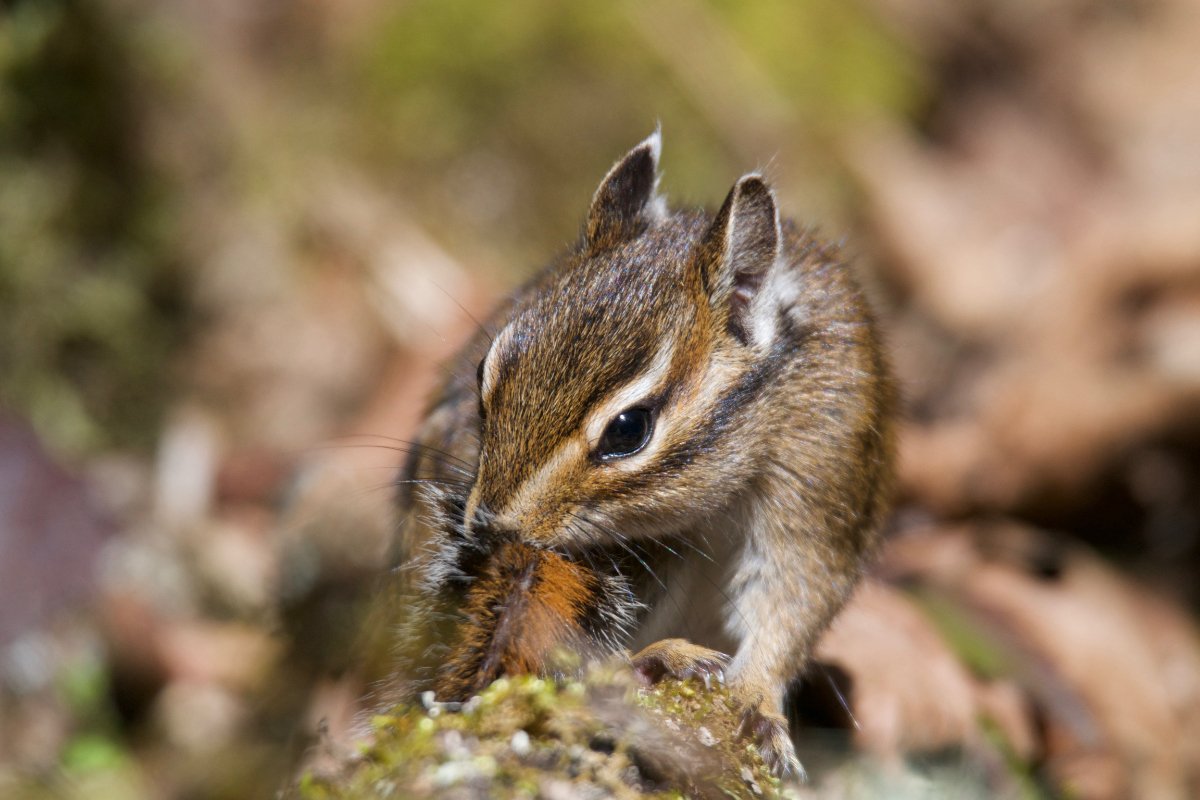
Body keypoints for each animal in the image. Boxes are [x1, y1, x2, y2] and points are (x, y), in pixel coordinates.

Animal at [393, 131, 894, 776]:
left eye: (628, 430)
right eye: (488, 368)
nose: (486, 526)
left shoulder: (820, 487)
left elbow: (790, 604)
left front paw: (758, 702)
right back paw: (655, 659)